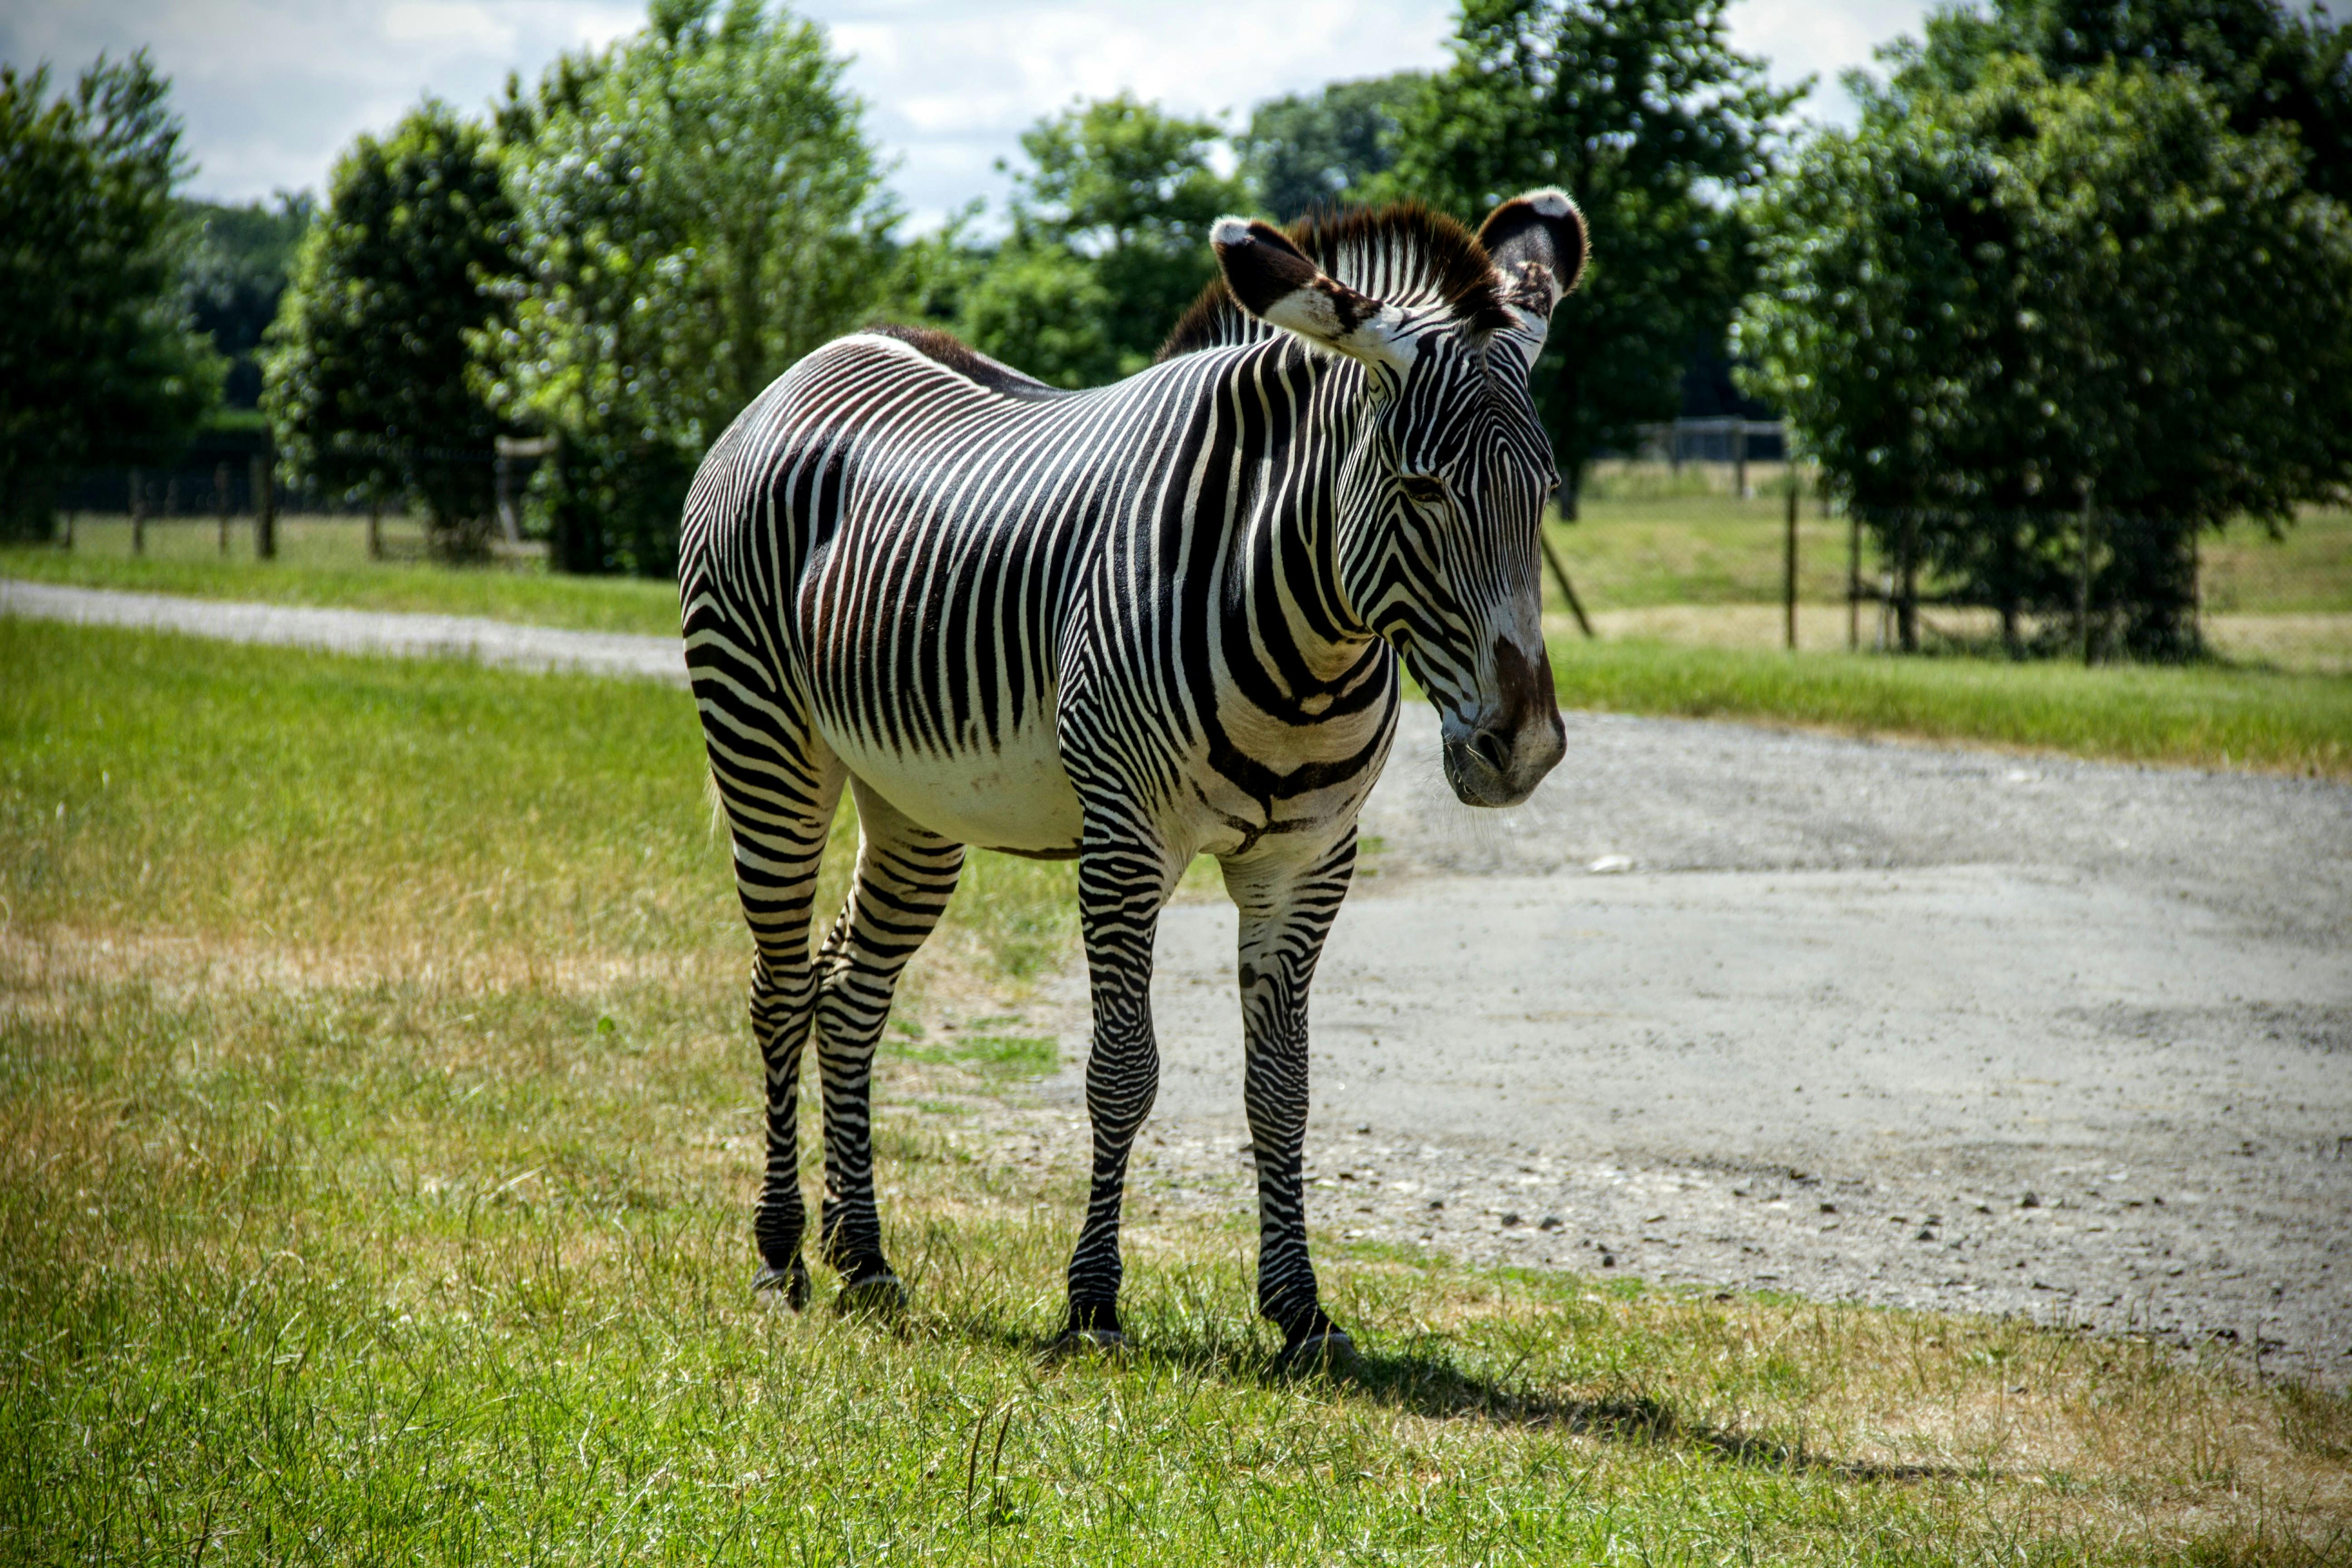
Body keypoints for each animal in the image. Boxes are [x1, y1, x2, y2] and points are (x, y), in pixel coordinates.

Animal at [679, 190, 1585, 1362]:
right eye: (1420, 488)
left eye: (1546, 490)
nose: (1523, 750)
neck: (1309, 643)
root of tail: (811, 363)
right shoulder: (1125, 842)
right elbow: (1122, 1071)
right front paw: (1093, 1303)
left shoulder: (1307, 860)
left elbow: (1280, 1087)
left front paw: (1300, 1311)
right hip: (766, 742)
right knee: (782, 986)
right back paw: (782, 1249)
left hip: (916, 805)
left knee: (849, 993)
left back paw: (864, 1256)